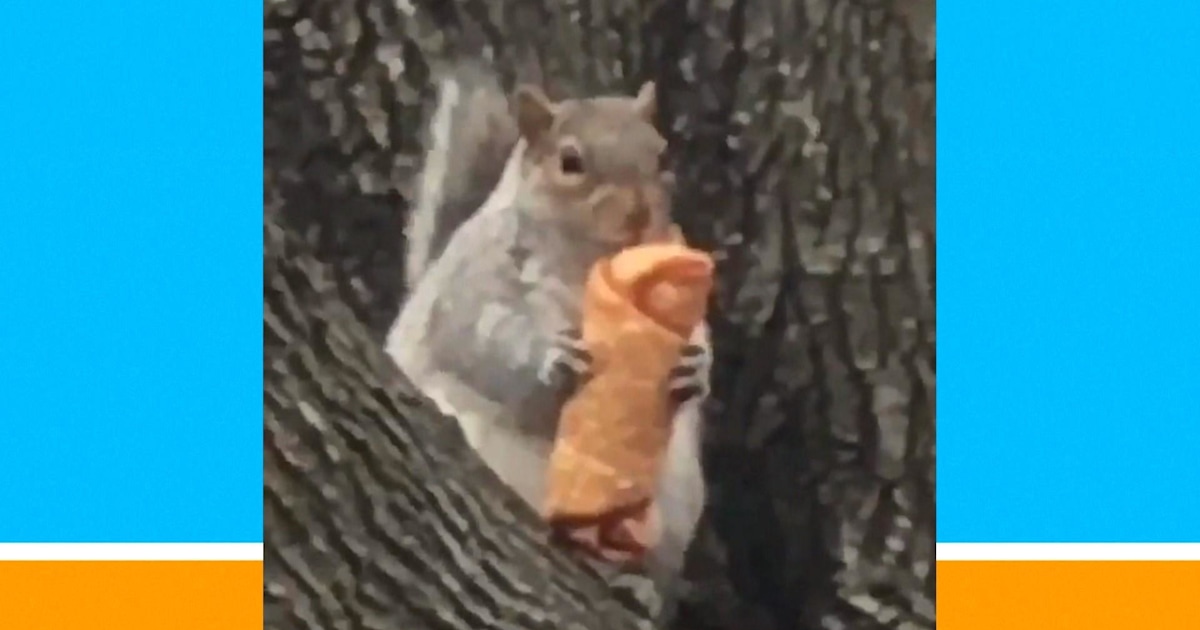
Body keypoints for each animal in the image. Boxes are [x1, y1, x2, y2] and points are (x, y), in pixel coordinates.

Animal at [387, 63, 711, 599]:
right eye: (570, 161)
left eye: (662, 153)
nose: (640, 213)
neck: (584, 264)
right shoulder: (475, 276)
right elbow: (478, 336)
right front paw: (553, 359)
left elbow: (703, 341)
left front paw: (694, 371)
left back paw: (635, 583)